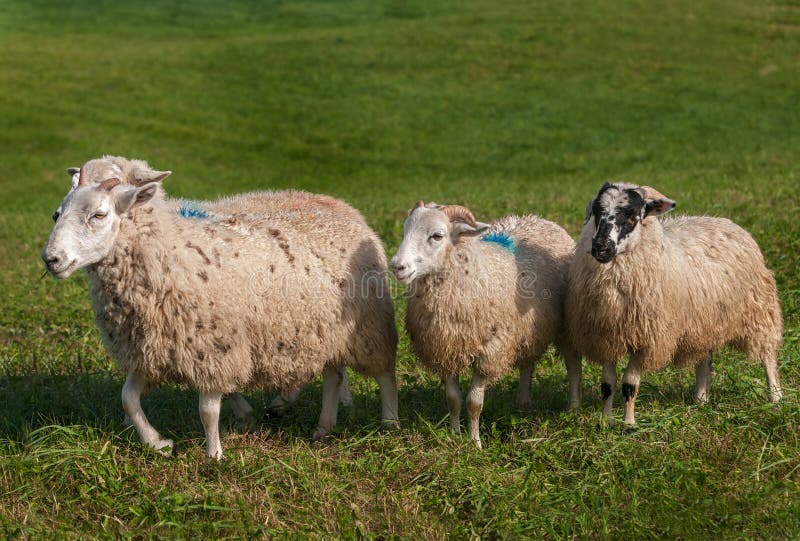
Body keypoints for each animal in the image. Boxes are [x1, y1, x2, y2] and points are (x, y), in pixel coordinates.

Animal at [43, 160, 399, 460]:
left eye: (99, 215)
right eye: (56, 214)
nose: (51, 259)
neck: (169, 248)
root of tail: (343, 209)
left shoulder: (214, 347)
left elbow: (207, 410)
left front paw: (213, 455)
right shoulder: (150, 346)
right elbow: (128, 399)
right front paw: (158, 444)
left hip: (367, 324)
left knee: (383, 372)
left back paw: (389, 422)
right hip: (321, 330)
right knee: (333, 375)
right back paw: (323, 427)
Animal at [390, 201, 581, 448]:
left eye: (437, 236)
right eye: (405, 230)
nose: (397, 266)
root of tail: (540, 218)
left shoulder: (490, 352)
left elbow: (474, 403)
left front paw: (475, 443)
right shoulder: (446, 348)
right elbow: (452, 399)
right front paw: (455, 436)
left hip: (565, 324)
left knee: (572, 364)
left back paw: (572, 406)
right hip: (527, 329)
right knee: (527, 362)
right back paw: (523, 402)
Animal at [565, 182, 783, 426]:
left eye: (632, 217)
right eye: (596, 212)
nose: (600, 248)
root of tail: (725, 221)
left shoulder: (647, 340)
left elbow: (630, 385)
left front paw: (629, 424)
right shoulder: (607, 336)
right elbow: (607, 385)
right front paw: (605, 422)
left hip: (759, 310)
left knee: (767, 354)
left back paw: (775, 397)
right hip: (704, 322)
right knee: (704, 360)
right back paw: (701, 400)